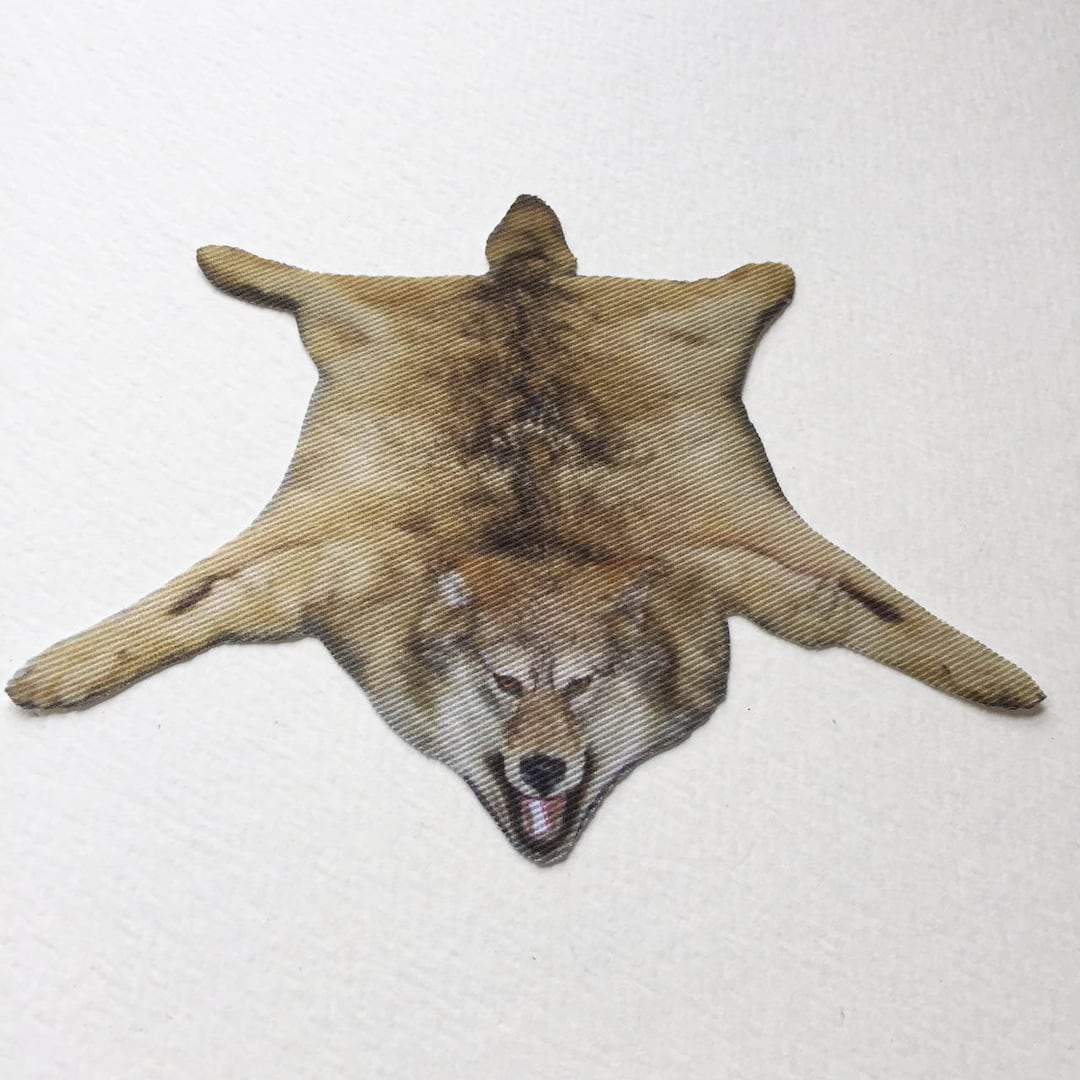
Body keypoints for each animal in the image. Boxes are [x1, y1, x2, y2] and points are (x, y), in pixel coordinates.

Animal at [7, 196, 1043, 864]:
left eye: (584, 684)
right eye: (504, 683)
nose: (543, 765)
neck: (538, 544)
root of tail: (525, 279)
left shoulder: (734, 567)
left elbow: (887, 617)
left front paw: (1004, 681)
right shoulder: (329, 567)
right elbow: (177, 608)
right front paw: (56, 672)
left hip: (675, 321)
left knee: (762, 273)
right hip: (365, 310)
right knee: (303, 276)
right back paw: (225, 255)